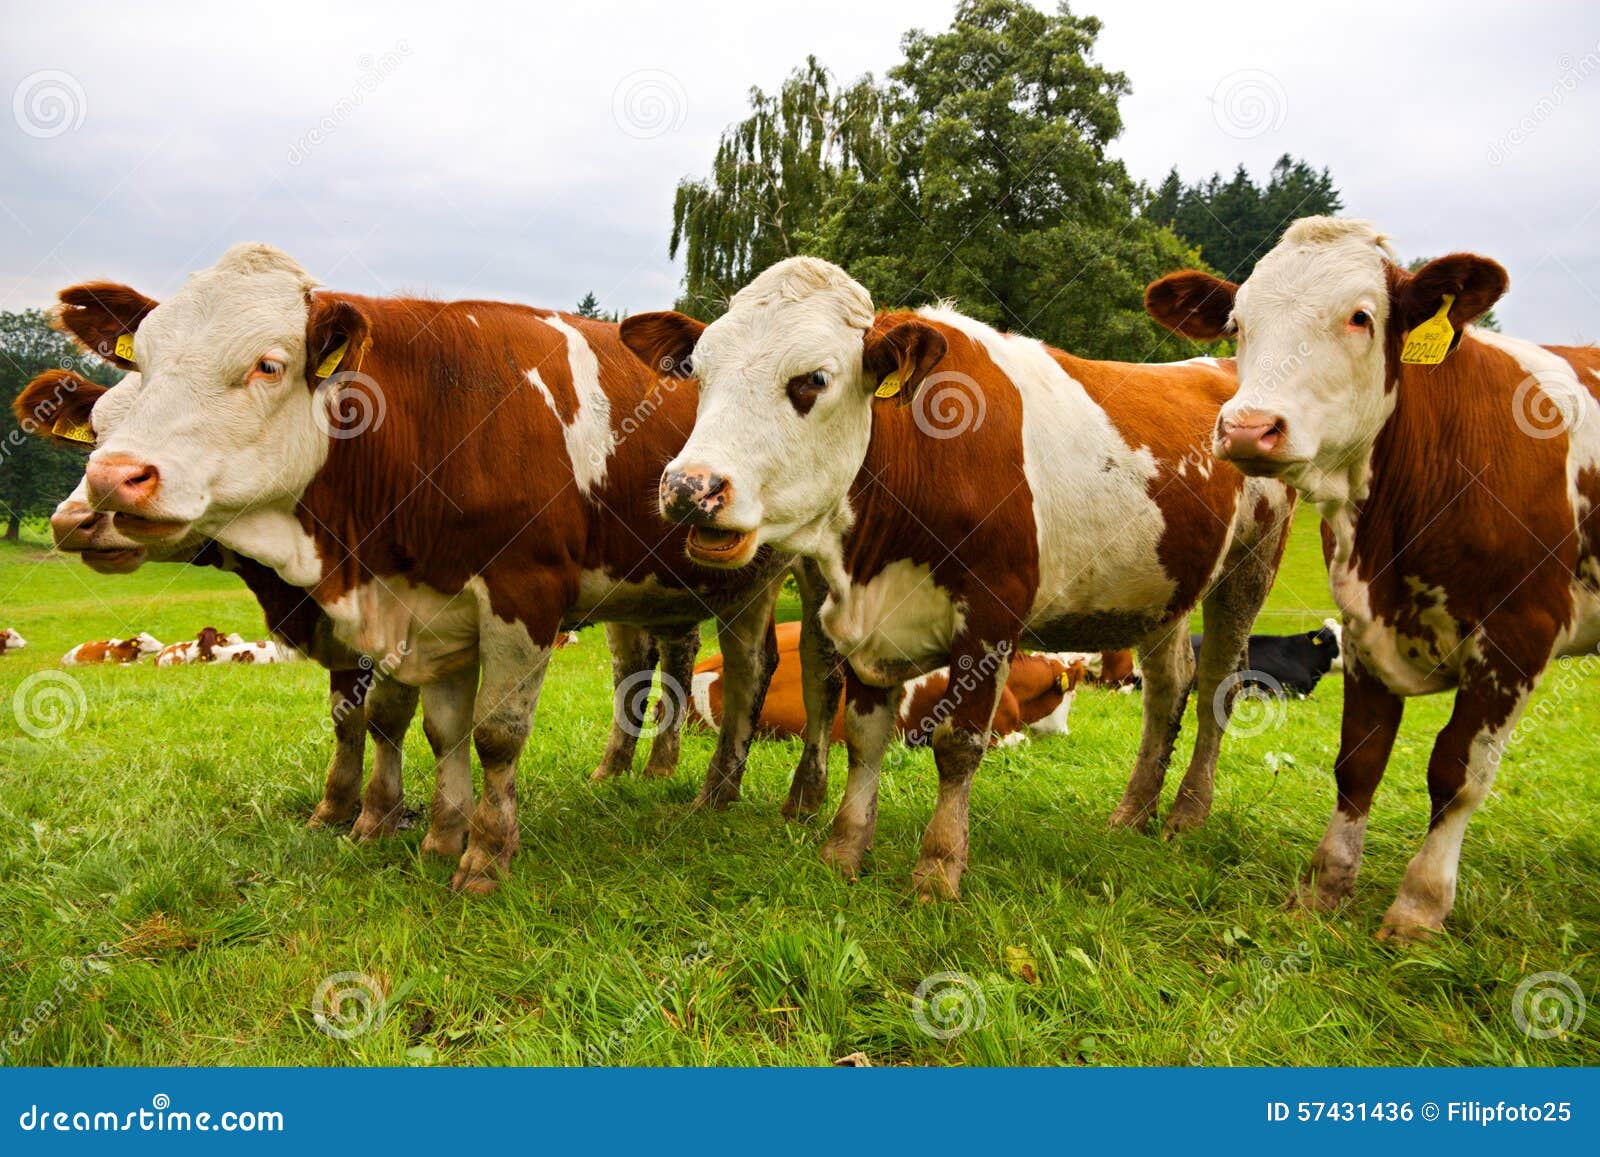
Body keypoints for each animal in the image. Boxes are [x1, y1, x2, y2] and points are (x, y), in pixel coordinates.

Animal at [54, 243, 836, 894]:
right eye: (144, 361)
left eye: (267, 364)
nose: (109, 482)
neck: (437, 414)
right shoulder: (429, 605)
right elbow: (434, 727)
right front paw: (434, 835)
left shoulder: (526, 594)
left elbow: (495, 734)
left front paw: (485, 855)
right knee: (695, 665)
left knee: (785, 673)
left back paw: (760, 797)